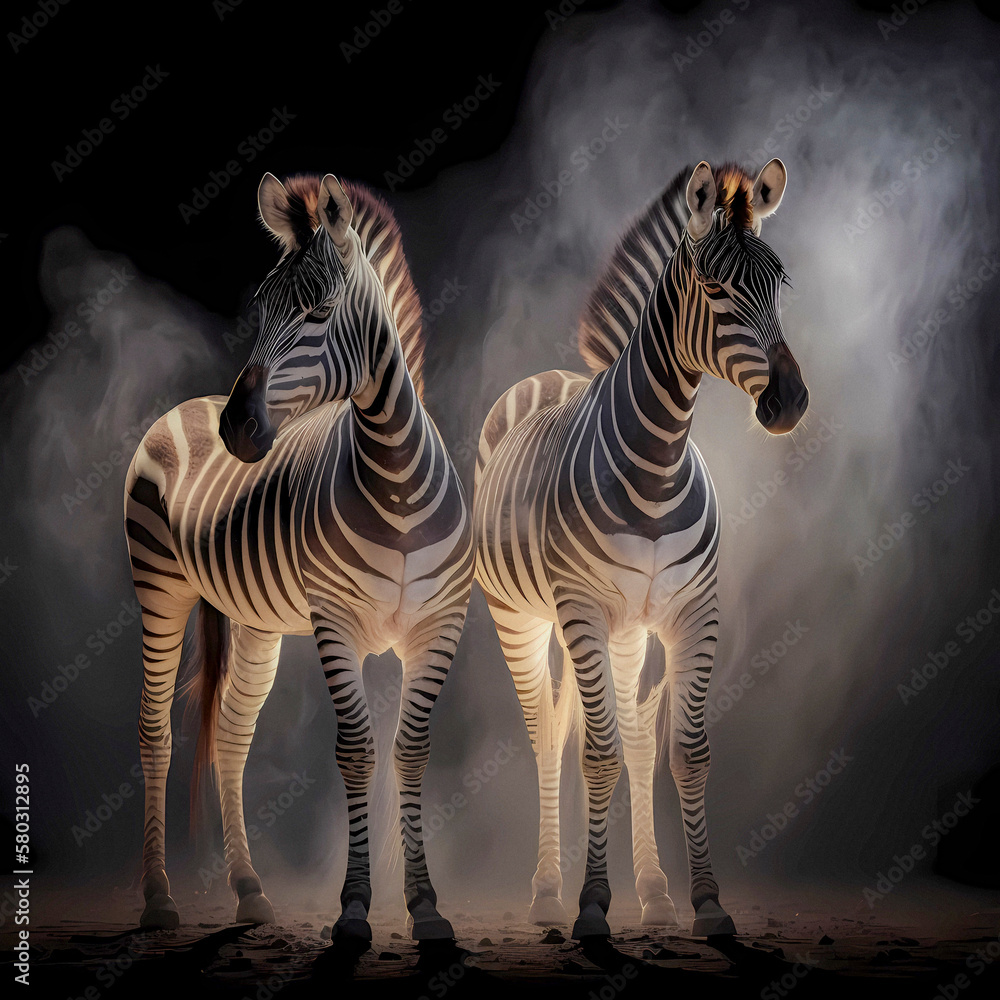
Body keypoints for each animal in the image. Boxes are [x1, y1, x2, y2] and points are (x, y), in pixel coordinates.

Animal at [124, 172, 474, 942]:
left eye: (317, 314)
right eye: (260, 309)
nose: (236, 428)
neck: (397, 482)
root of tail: (187, 405)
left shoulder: (439, 627)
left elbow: (409, 749)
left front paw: (427, 907)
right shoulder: (334, 623)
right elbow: (356, 751)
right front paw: (354, 908)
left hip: (254, 623)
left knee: (230, 735)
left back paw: (251, 892)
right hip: (158, 586)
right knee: (155, 730)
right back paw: (158, 899)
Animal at [473, 158, 808, 939]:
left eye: (780, 283)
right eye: (715, 289)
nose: (791, 402)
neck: (656, 462)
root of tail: (559, 375)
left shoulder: (694, 615)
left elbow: (681, 751)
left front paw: (704, 901)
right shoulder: (582, 611)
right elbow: (595, 755)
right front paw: (592, 904)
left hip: (629, 630)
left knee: (631, 733)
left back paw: (653, 890)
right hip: (523, 617)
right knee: (548, 735)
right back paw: (546, 891)